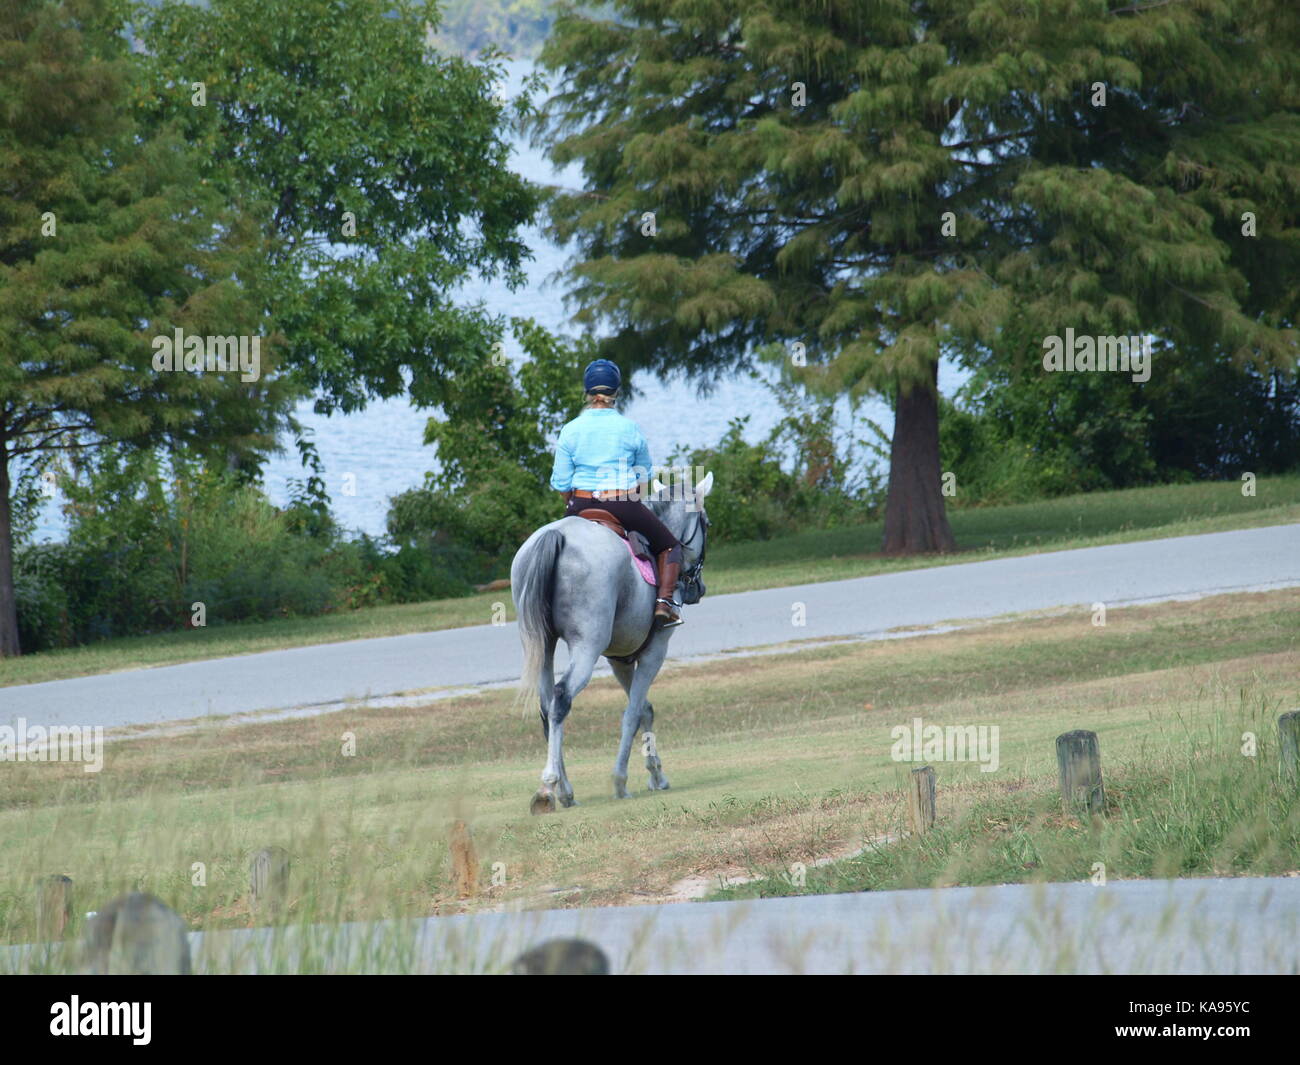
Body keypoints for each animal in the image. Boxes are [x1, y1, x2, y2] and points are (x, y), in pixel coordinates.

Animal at [510, 472, 713, 814]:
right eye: (707, 524)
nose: (698, 588)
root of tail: (555, 536)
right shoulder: (654, 652)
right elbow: (632, 714)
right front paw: (622, 780)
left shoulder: (620, 658)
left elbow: (644, 709)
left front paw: (657, 776)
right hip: (587, 646)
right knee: (562, 698)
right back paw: (549, 785)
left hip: (543, 645)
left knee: (548, 706)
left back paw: (564, 791)